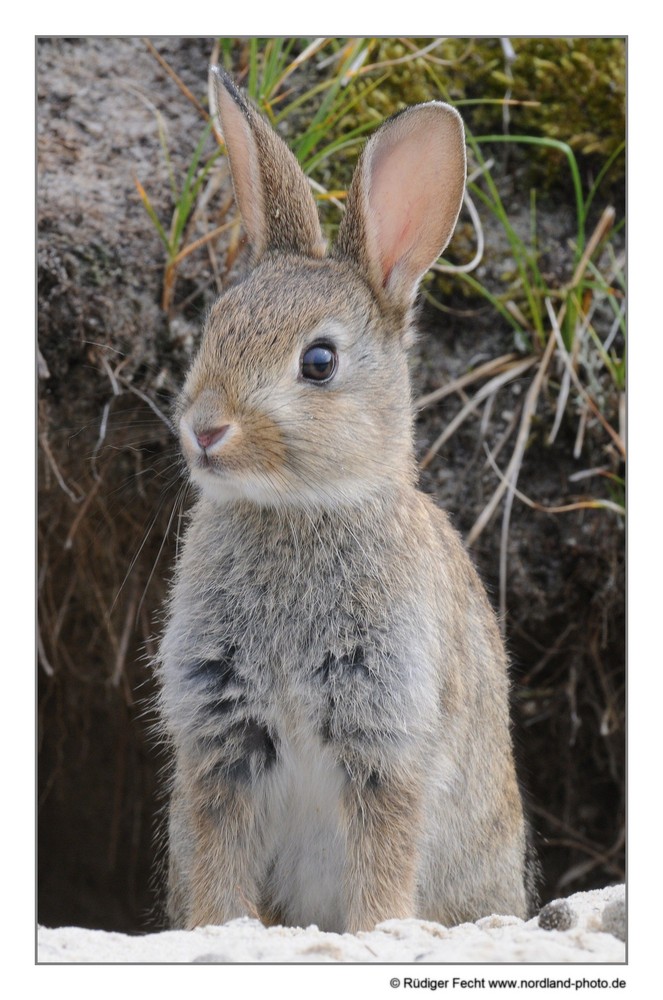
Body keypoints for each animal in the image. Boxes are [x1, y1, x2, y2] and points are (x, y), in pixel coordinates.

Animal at [158, 66, 536, 932]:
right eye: (216, 325)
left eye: (319, 362)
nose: (204, 429)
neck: (299, 510)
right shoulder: (221, 736)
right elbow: (221, 857)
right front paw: (217, 930)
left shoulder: (384, 734)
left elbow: (382, 856)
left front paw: (377, 932)